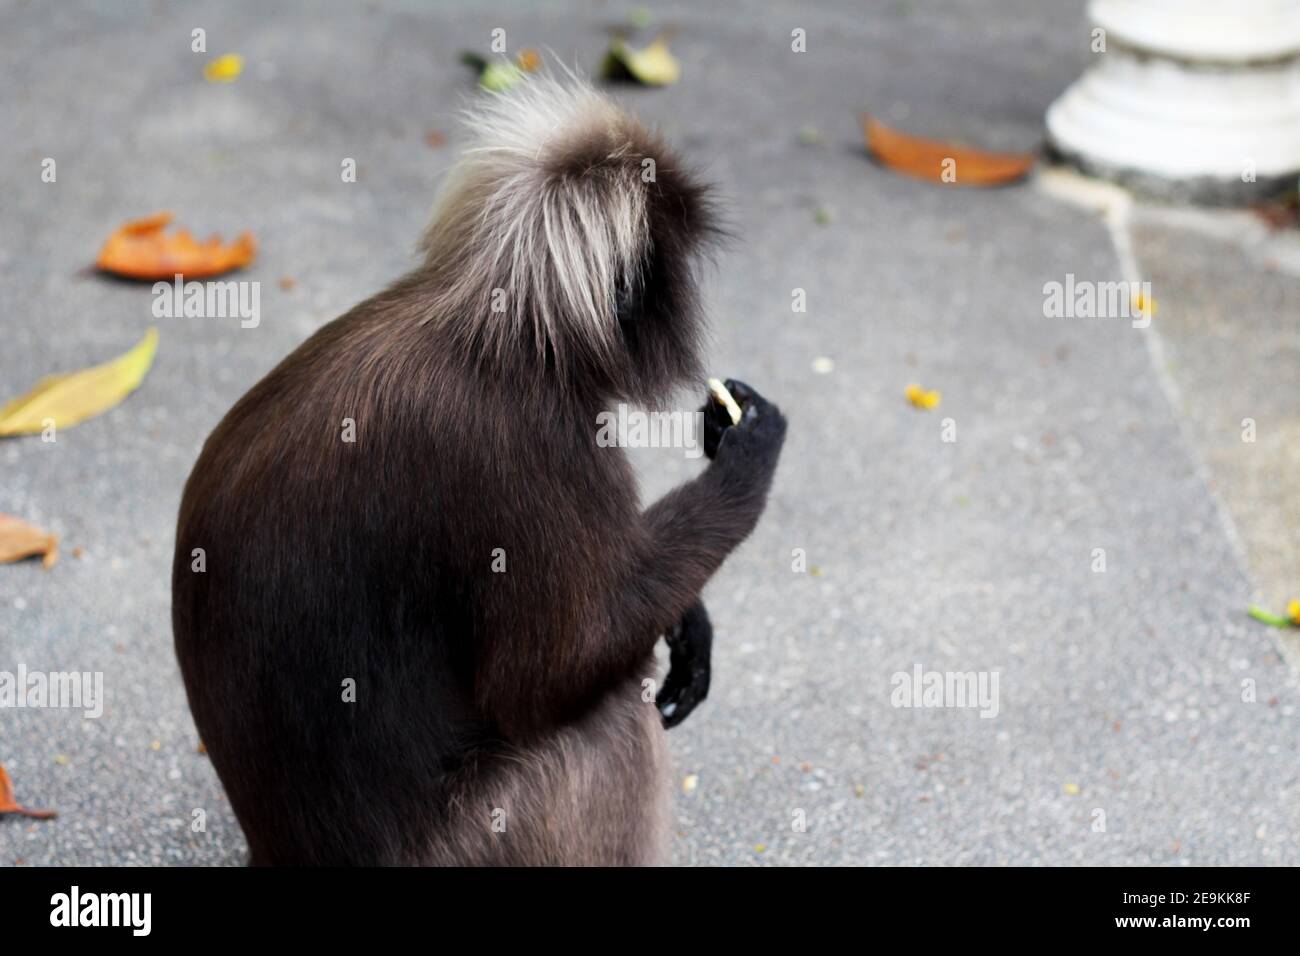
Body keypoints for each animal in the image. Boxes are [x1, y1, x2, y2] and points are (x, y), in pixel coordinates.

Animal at [171, 74, 787, 866]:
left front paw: (691, 620)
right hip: (482, 836)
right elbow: (550, 672)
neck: (498, 338)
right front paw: (745, 457)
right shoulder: (530, 440)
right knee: (612, 715)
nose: (692, 299)